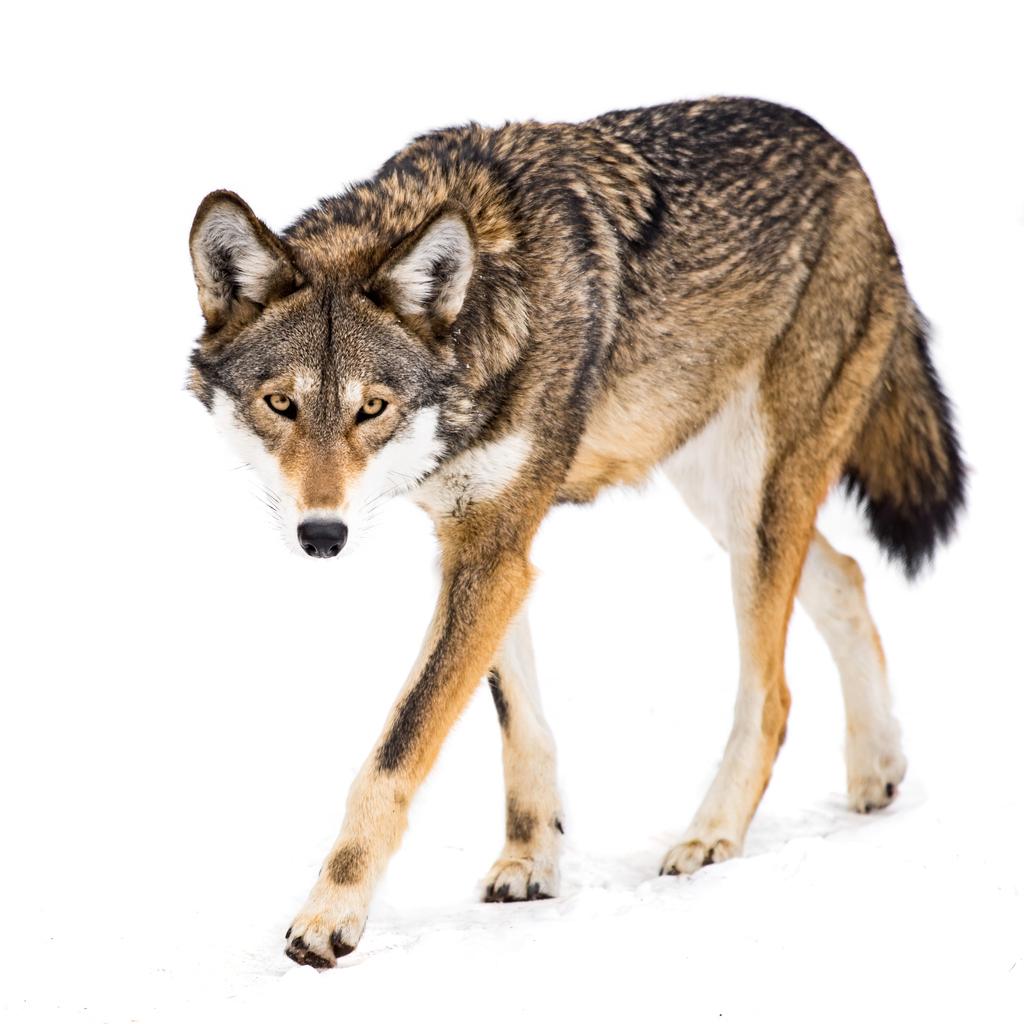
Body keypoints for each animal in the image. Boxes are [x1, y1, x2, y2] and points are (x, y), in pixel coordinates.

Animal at [186, 97, 964, 967]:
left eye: (371, 409)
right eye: (281, 404)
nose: (323, 534)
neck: (489, 307)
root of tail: (846, 157)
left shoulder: (494, 547)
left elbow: (398, 748)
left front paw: (330, 915)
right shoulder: (483, 545)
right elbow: (520, 725)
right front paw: (532, 860)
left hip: (757, 500)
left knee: (772, 694)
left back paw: (711, 837)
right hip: (727, 501)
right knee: (846, 574)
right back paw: (877, 768)